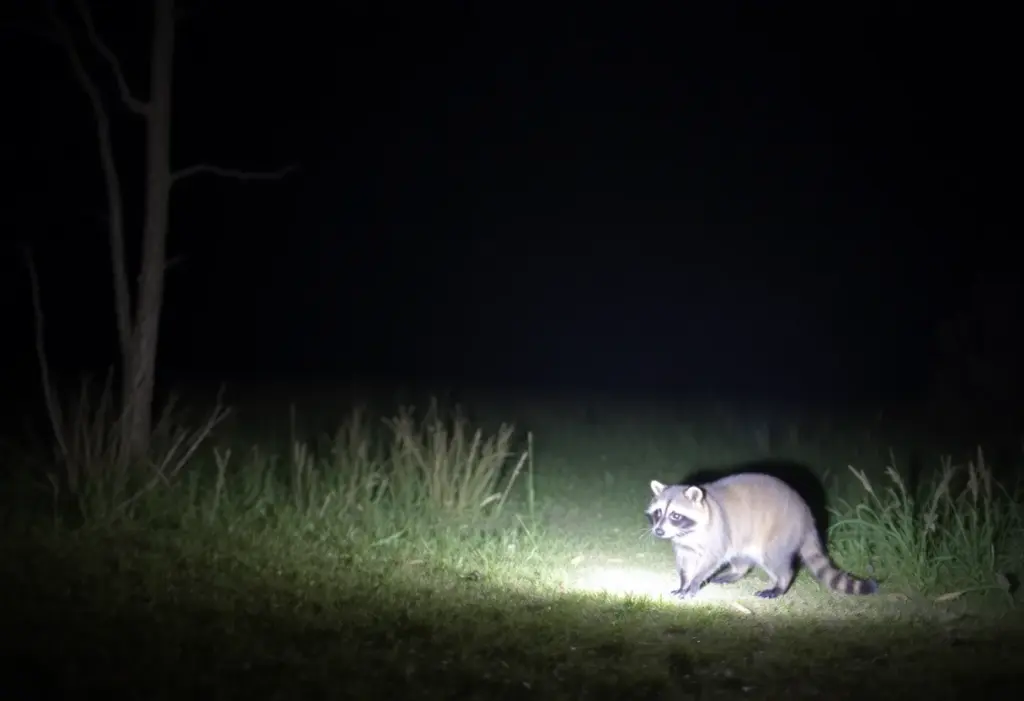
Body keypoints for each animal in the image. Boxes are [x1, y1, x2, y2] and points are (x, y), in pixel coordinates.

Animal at [646, 472, 877, 600]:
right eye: (658, 513)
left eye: (675, 515)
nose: (659, 531)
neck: (687, 532)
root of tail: (806, 515)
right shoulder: (684, 545)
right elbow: (685, 564)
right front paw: (684, 583)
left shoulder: (717, 533)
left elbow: (709, 562)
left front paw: (694, 583)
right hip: (742, 535)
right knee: (741, 559)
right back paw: (736, 572)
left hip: (779, 534)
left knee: (777, 562)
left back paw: (780, 584)